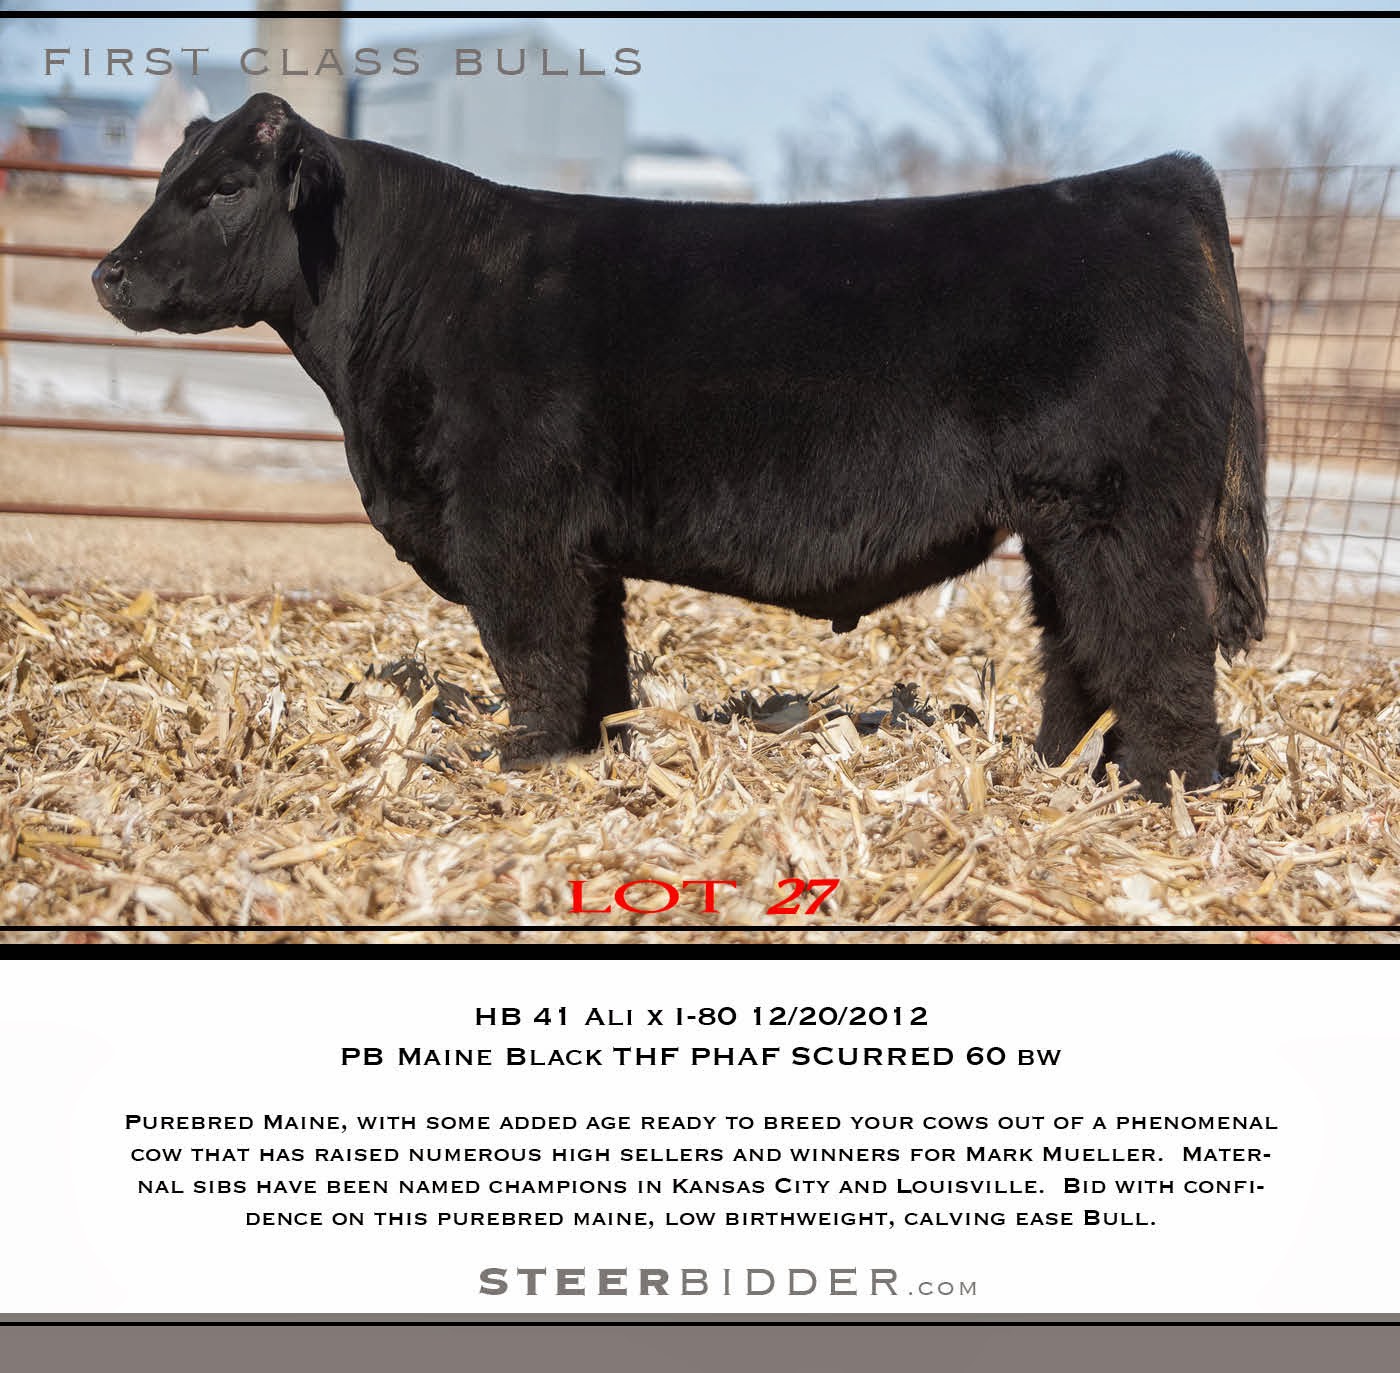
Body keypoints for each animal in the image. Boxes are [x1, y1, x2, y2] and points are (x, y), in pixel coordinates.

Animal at [94, 93, 1267, 804]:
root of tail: (1160, 180)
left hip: (1120, 510)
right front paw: (589, 750)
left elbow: (531, 649)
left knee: (1160, 643)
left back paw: (1166, 786)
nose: (107, 274)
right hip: (1061, 521)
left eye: (223, 190)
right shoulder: (574, 541)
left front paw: (521, 762)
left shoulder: (508, 522)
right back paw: (1062, 770)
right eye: (161, 180)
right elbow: (590, 655)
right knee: (1080, 645)